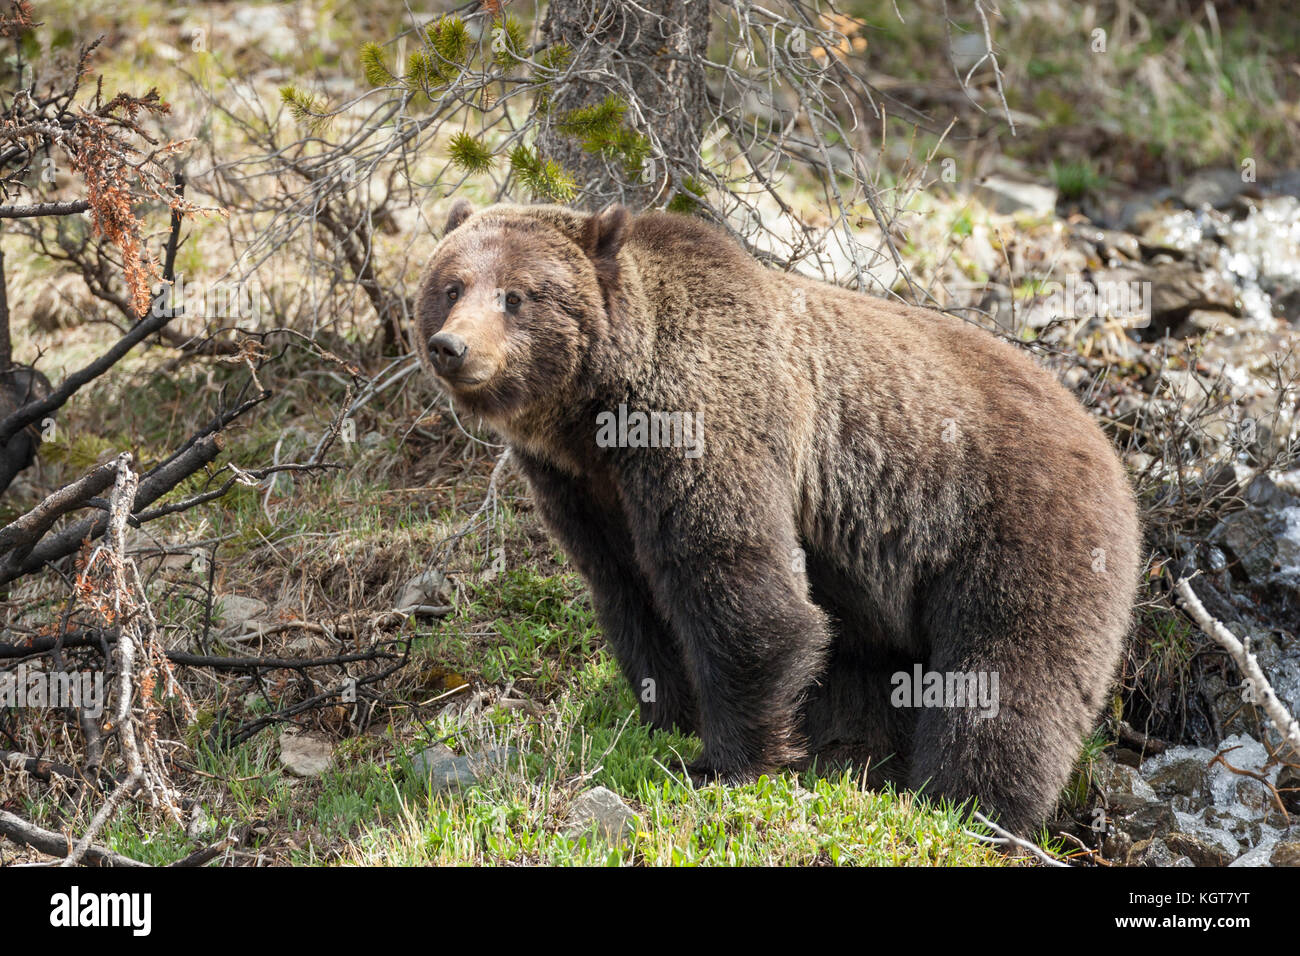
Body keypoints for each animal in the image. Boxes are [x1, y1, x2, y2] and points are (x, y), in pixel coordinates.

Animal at [413, 200, 1141, 832]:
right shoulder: (582, 488)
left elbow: (740, 586)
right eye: (450, 286)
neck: (597, 413)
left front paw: (724, 762)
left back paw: (964, 805)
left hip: (1014, 527)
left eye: (517, 295)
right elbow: (630, 594)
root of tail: (1106, 441)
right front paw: (664, 721)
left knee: (1007, 677)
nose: (452, 347)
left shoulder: (704, 420)